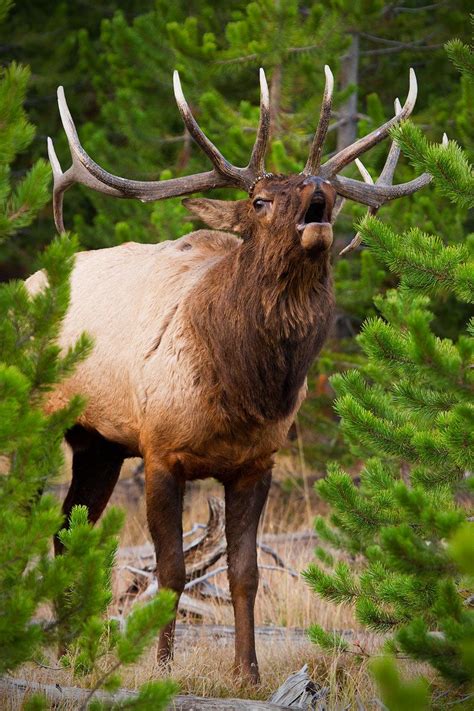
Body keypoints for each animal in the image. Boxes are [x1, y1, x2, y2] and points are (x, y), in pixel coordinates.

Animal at [26, 64, 436, 683]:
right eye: (260, 199)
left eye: (334, 192)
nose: (319, 191)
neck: (245, 388)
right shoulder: (160, 452)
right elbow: (171, 571)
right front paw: (164, 665)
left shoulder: (256, 463)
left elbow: (246, 573)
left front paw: (249, 671)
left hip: (97, 444)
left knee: (63, 535)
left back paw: (73, 648)